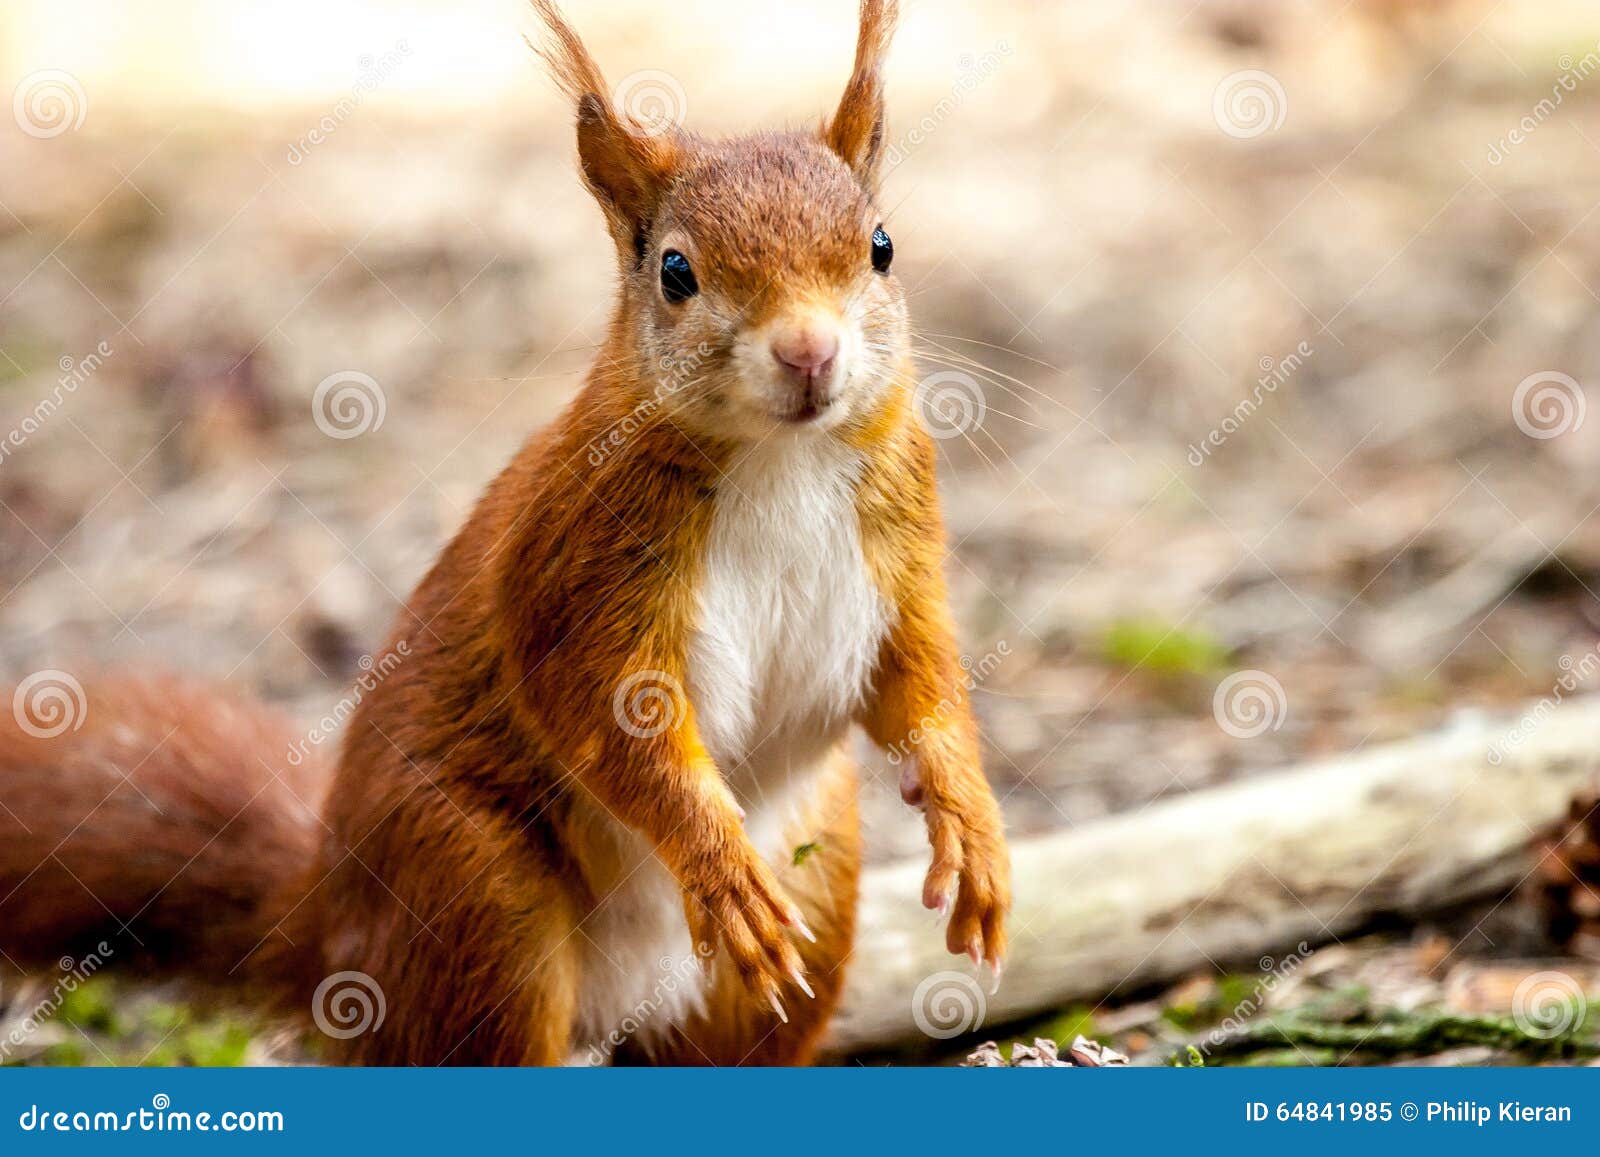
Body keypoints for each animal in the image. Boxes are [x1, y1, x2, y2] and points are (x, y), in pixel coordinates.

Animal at [0, 0, 1010, 1066]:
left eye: (883, 246)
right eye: (676, 271)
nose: (809, 351)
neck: (781, 458)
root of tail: (323, 925)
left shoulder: (900, 544)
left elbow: (922, 683)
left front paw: (972, 823)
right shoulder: (579, 563)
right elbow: (610, 719)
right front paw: (717, 862)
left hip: (814, 890)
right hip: (479, 895)